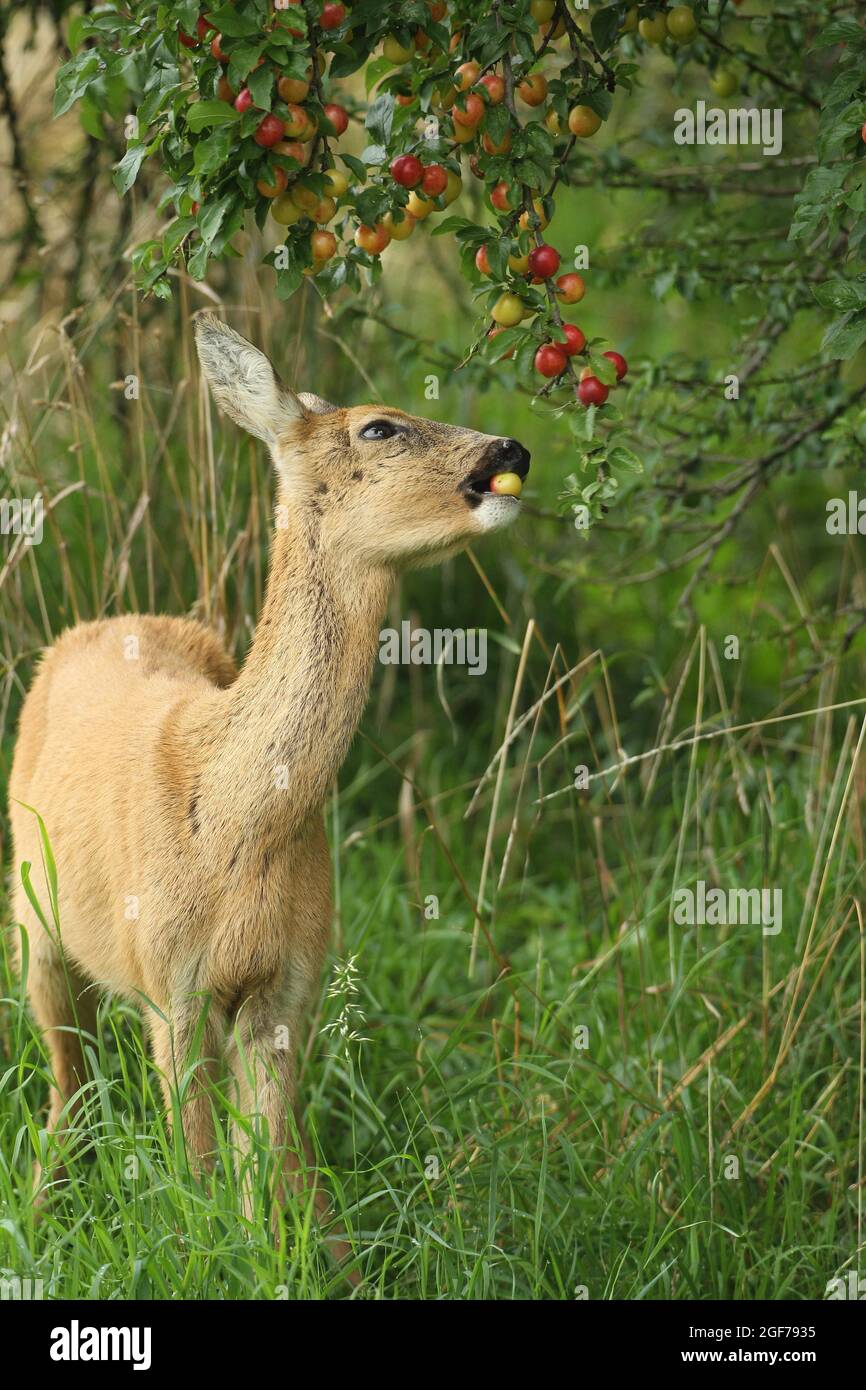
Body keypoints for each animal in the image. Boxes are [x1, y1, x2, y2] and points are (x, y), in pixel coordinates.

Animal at [7, 312, 530, 1281]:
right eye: (379, 426)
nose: (509, 447)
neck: (234, 822)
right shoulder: (169, 981)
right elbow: (200, 1165)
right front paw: (198, 1261)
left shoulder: (288, 984)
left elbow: (272, 1172)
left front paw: (307, 1266)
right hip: (36, 928)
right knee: (67, 1086)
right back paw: (35, 1210)